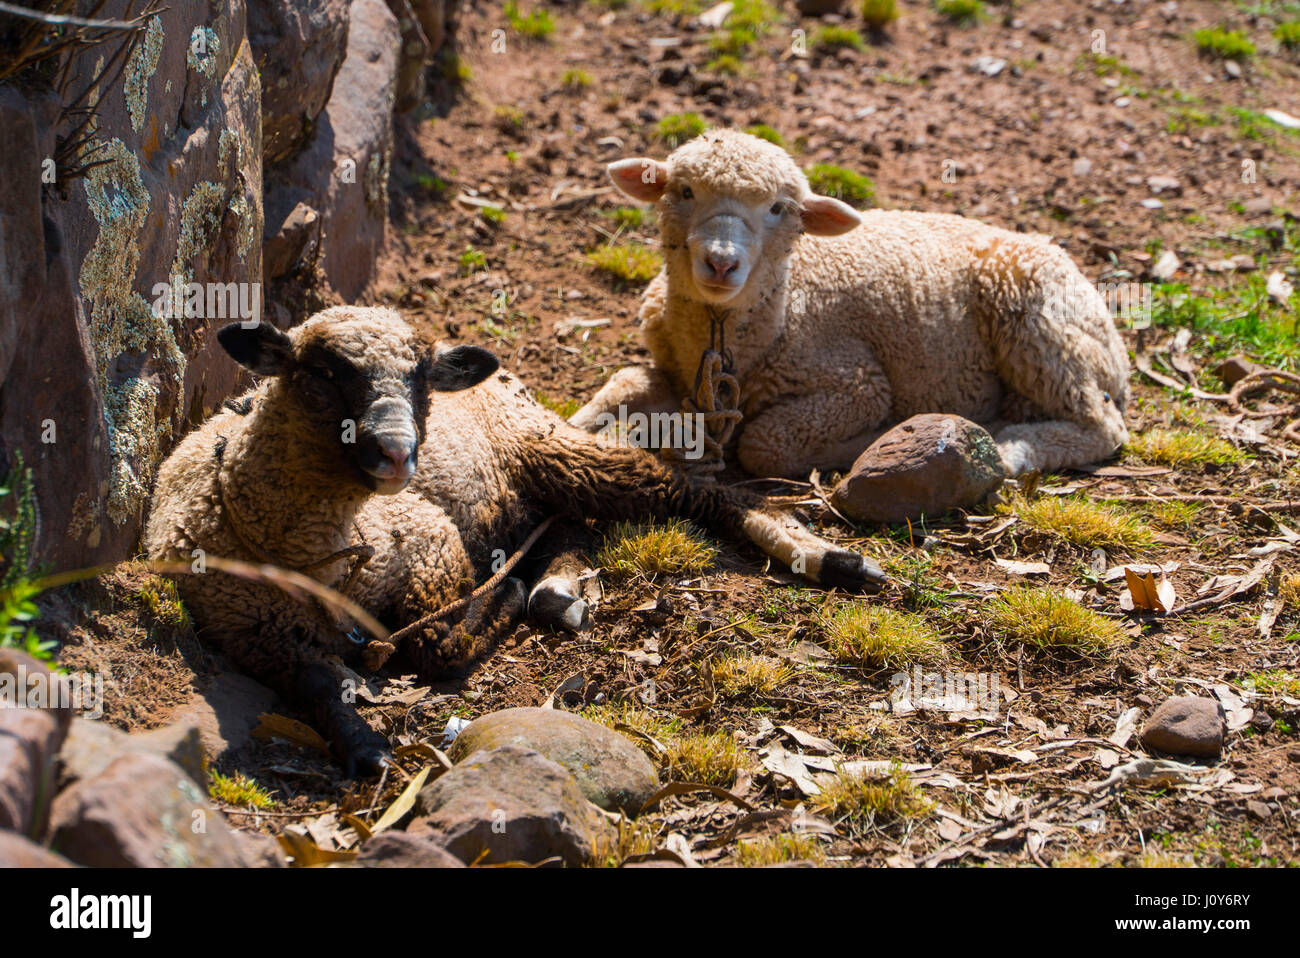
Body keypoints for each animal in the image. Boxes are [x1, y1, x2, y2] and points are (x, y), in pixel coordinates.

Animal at [145, 306, 884, 775]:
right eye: (323, 371)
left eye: (421, 376)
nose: (397, 454)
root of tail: (504, 378)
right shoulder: (249, 631)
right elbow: (318, 685)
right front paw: (363, 748)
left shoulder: (432, 544)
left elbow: (437, 645)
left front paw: (500, 598)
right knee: (578, 523)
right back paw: (556, 589)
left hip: (549, 448)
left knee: (687, 493)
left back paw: (830, 558)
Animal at [569, 129, 1131, 482]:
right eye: (684, 191)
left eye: (779, 209)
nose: (721, 263)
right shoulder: (679, 371)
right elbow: (627, 380)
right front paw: (575, 426)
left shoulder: (857, 384)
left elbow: (765, 443)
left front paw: (864, 443)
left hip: (1036, 326)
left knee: (1103, 426)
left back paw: (1013, 448)